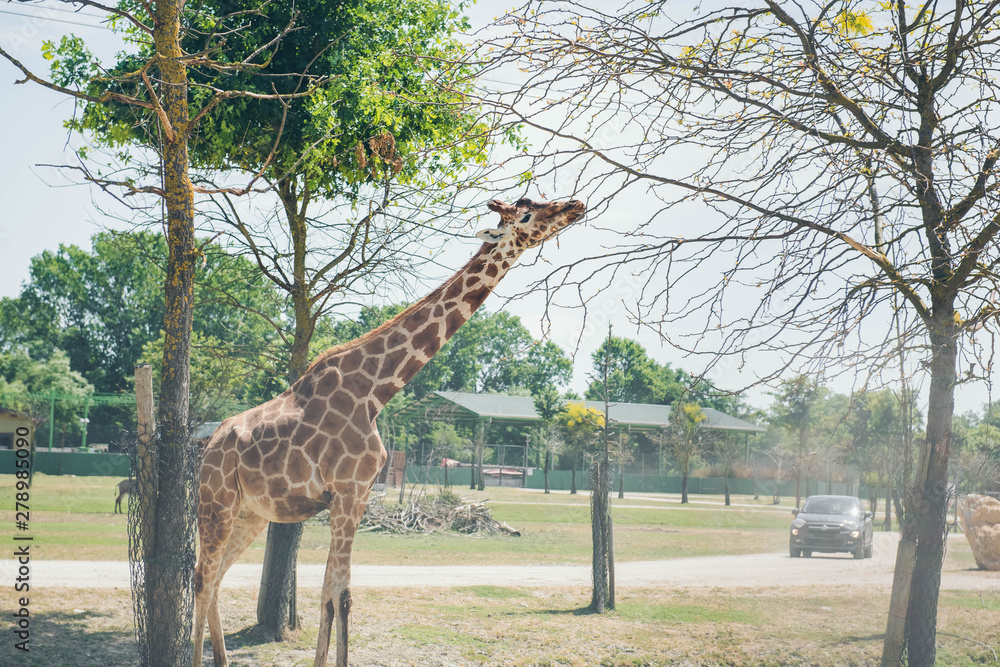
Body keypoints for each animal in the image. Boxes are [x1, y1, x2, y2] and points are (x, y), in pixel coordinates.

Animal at [192, 196, 586, 667]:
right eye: (526, 214)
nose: (576, 205)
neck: (377, 392)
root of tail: (208, 446)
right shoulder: (347, 493)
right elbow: (341, 596)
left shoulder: (355, 496)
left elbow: (328, 594)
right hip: (216, 504)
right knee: (201, 579)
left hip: (250, 513)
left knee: (216, 579)